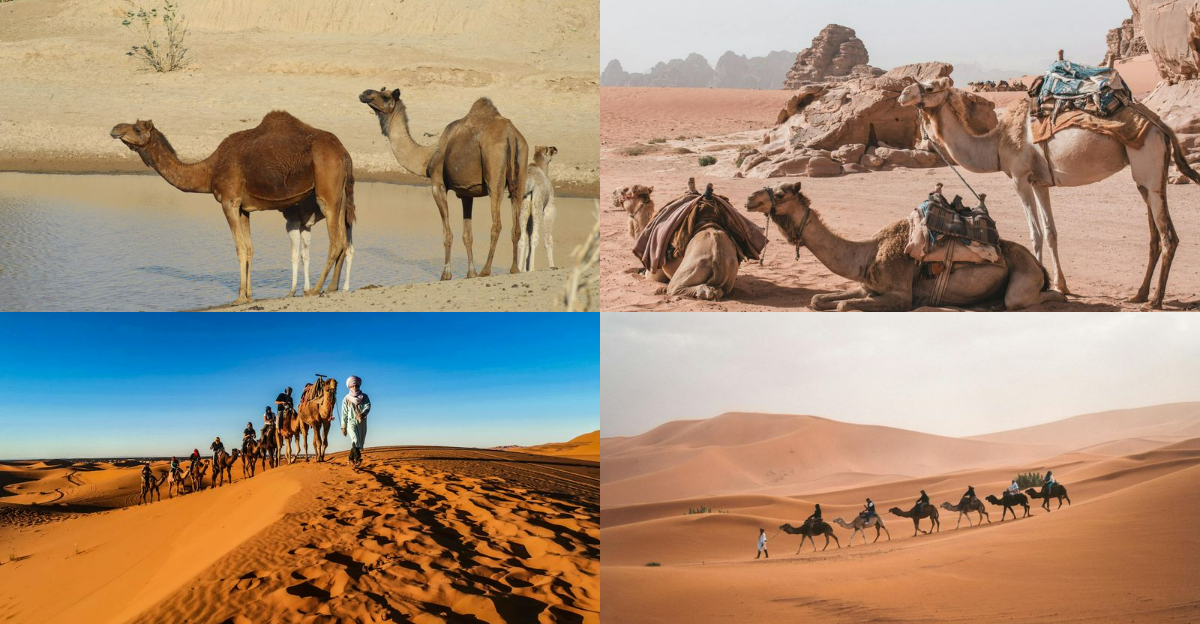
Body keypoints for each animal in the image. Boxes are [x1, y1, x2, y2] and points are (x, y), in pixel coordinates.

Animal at [111, 113, 355, 304]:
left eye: (137, 128)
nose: (114, 129)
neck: (209, 170)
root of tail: (344, 152)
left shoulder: (229, 201)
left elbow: (239, 249)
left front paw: (239, 297)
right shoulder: (243, 208)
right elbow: (250, 248)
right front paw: (249, 295)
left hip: (326, 191)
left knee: (335, 242)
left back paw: (314, 290)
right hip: (341, 195)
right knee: (344, 240)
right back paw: (331, 288)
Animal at [359, 88, 528, 279]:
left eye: (385, 96)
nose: (365, 93)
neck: (427, 157)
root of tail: (511, 136)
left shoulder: (437, 185)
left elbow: (447, 233)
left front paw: (446, 274)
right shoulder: (466, 192)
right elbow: (467, 235)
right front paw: (470, 273)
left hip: (494, 172)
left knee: (497, 224)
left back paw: (486, 270)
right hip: (520, 172)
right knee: (516, 224)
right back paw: (514, 269)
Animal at [744, 182, 1066, 311]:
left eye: (781, 194)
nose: (749, 199)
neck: (867, 254)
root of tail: (1038, 265)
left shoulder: (900, 295)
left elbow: (845, 306)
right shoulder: (868, 287)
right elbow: (818, 299)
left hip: (1024, 277)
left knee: (1024, 299)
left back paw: (1055, 294)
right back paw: (992, 303)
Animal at [898, 76, 1200, 308]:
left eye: (930, 86)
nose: (903, 94)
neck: (996, 144)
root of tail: (1162, 126)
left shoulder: (1020, 178)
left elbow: (1035, 233)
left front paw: (1039, 282)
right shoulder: (1040, 183)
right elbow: (1051, 232)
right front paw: (1061, 285)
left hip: (1148, 161)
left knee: (1168, 236)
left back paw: (1155, 300)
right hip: (1146, 177)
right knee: (1154, 235)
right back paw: (1139, 294)